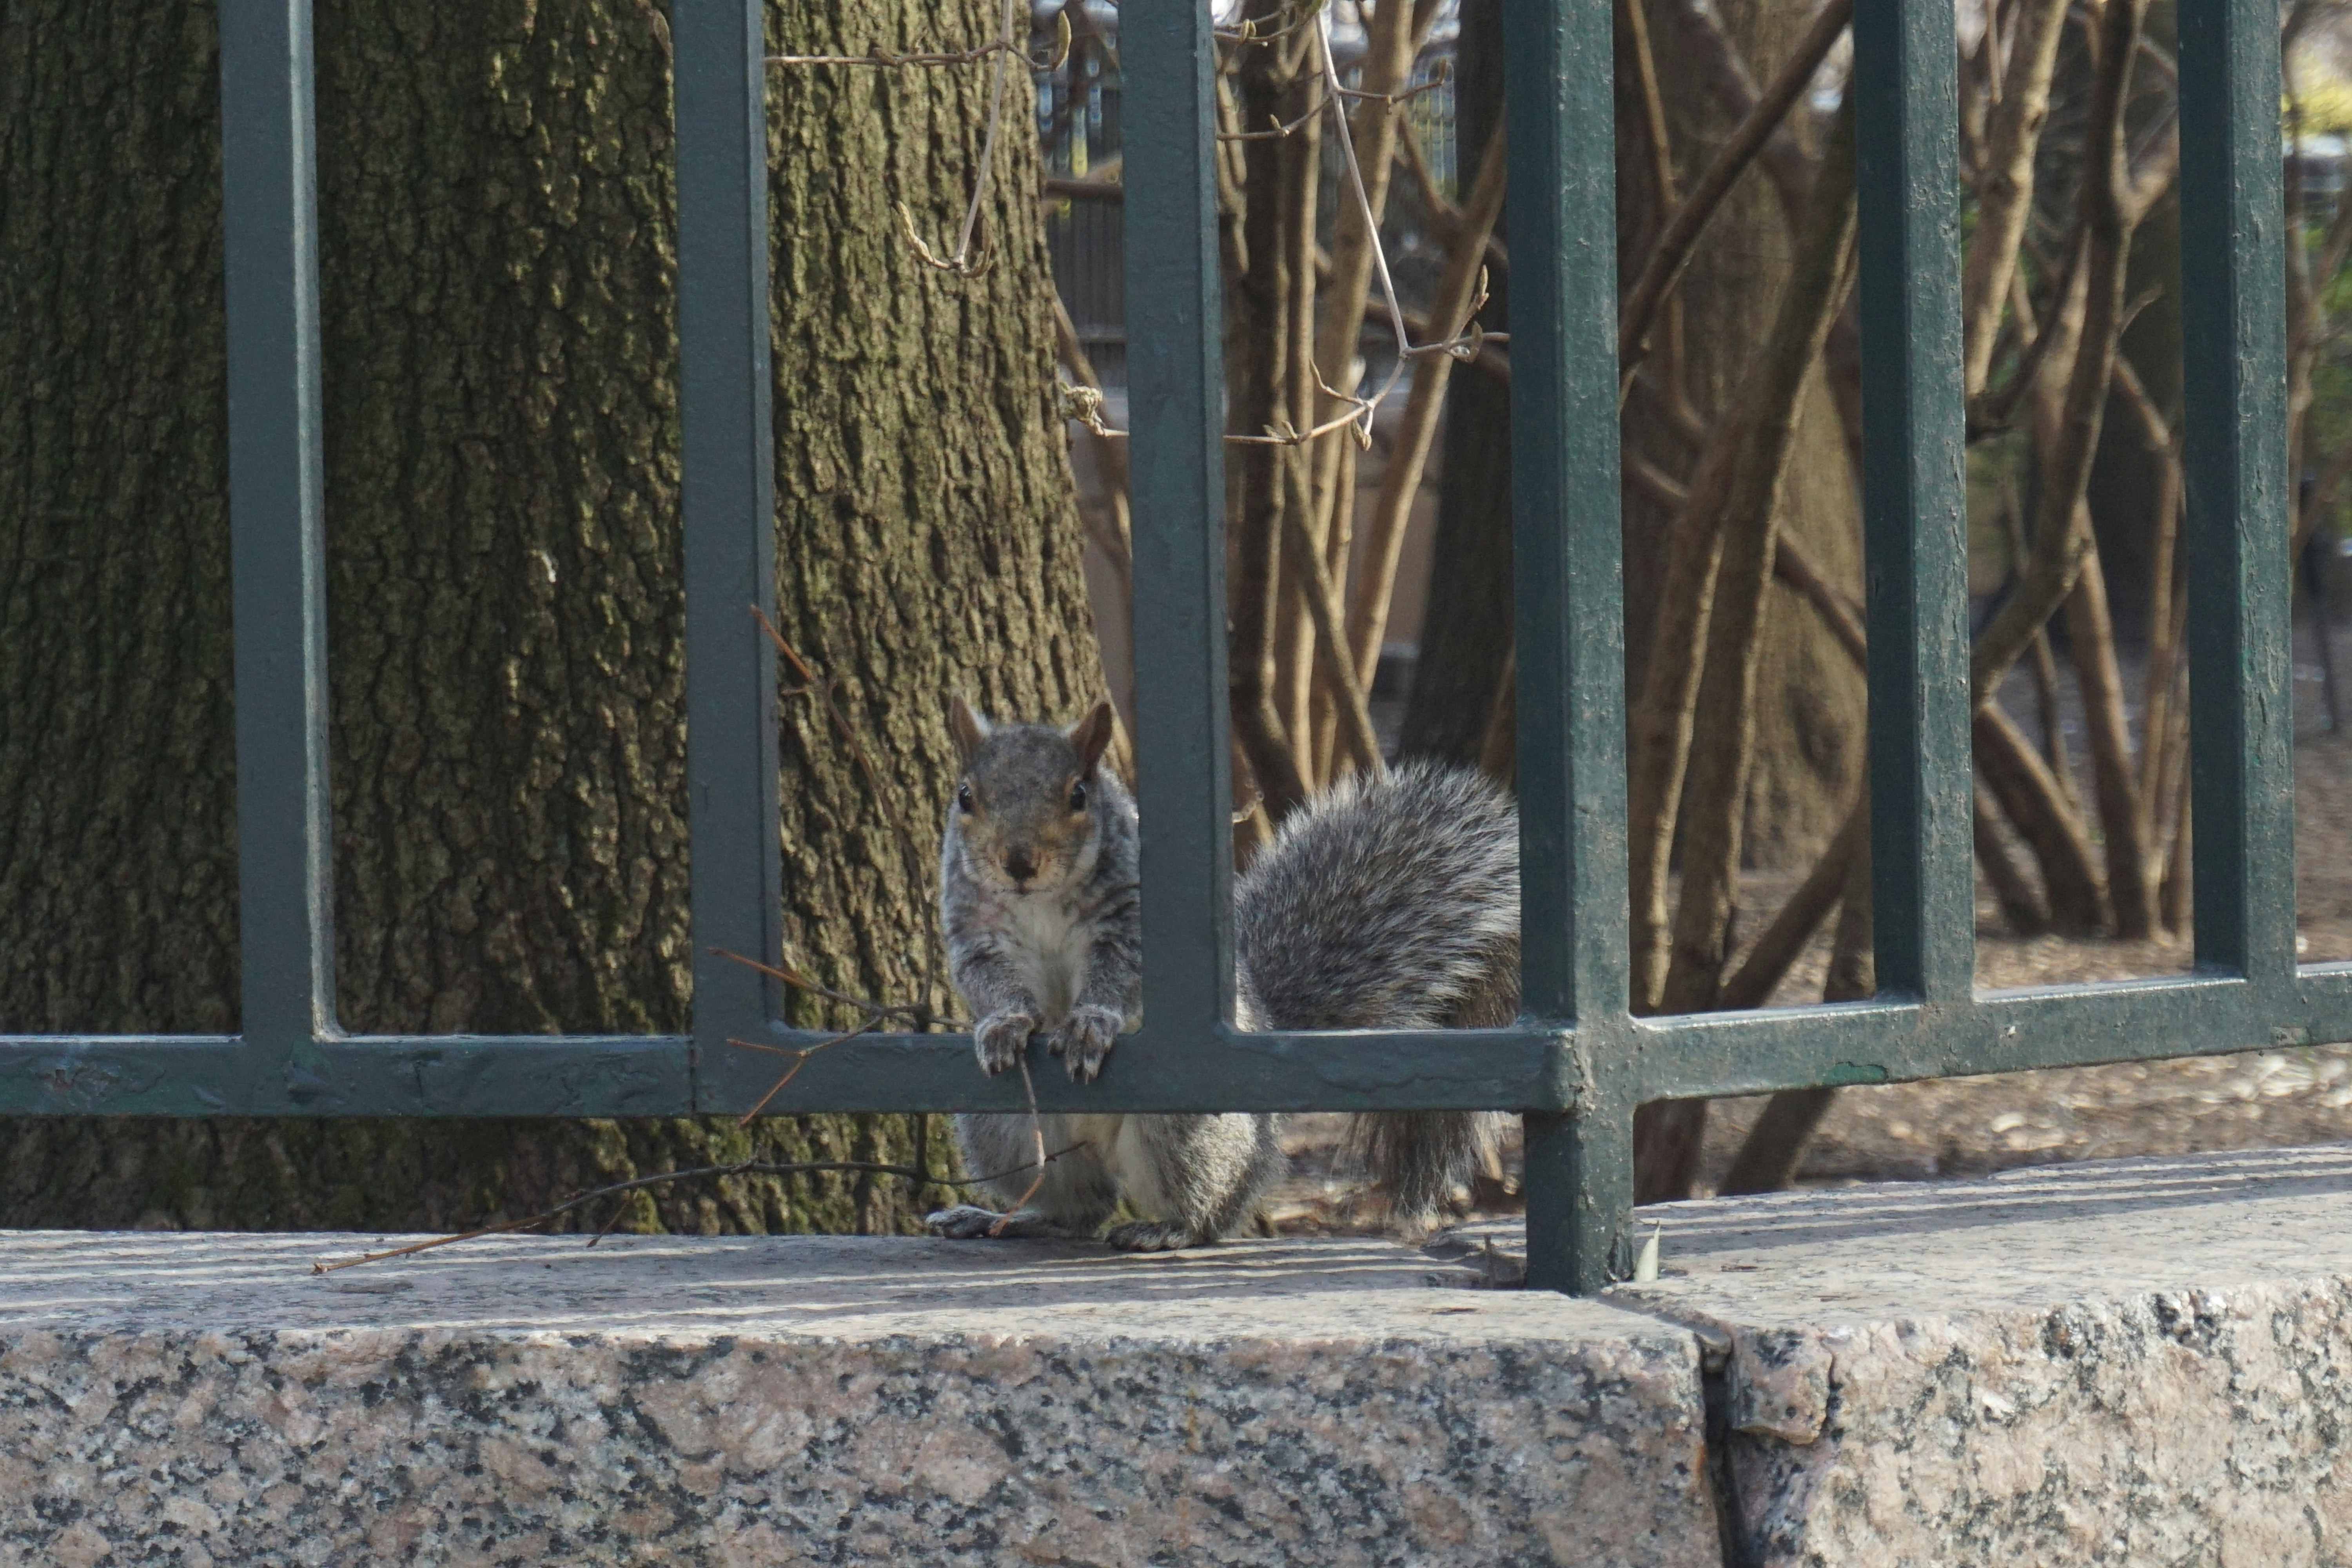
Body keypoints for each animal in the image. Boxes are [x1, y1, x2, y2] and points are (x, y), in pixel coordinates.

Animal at [924, 695, 1518, 1251]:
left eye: (1078, 795)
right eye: (965, 796)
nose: (1018, 862)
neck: (1039, 900)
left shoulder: (1132, 920)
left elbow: (1121, 972)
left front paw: (1091, 1023)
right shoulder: (973, 926)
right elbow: (983, 975)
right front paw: (1005, 1023)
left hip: (1183, 1126)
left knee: (1210, 1214)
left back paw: (1170, 1228)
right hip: (1001, 1127)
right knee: (1081, 1210)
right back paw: (1000, 1218)